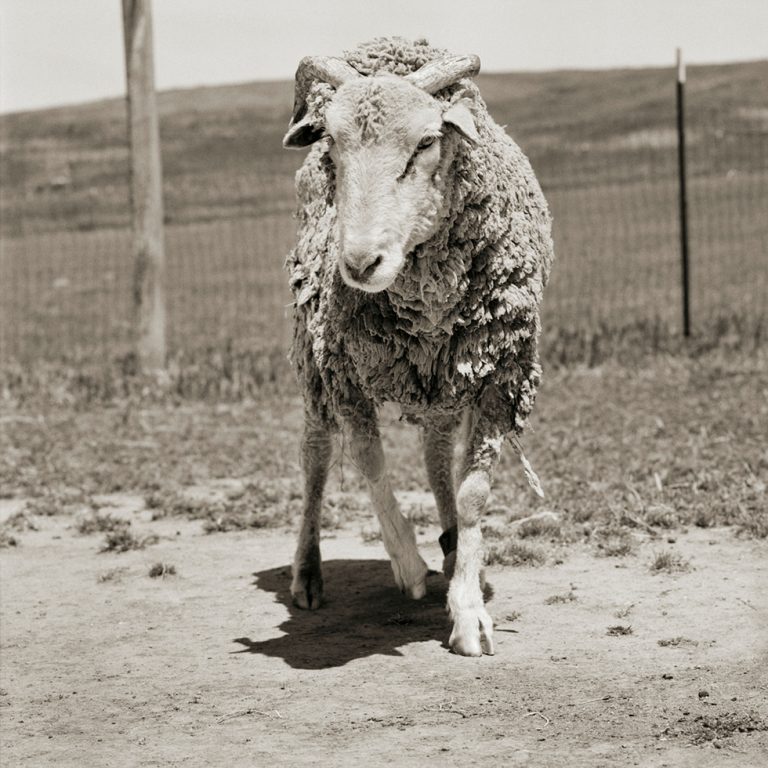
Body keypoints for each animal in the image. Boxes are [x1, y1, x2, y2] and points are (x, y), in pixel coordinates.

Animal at [282, 38, 553, 657]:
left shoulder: (500, 374)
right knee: (316, 456)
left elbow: (473, 492)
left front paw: (469, 610)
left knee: (434, 454)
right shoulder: (344, 371)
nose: (359, 264)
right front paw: (407, 564)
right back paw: (308, 571)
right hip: (313, 363)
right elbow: (370, 463)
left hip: (446, 379)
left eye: (427, 142)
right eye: (333, 145)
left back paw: (453, 549)